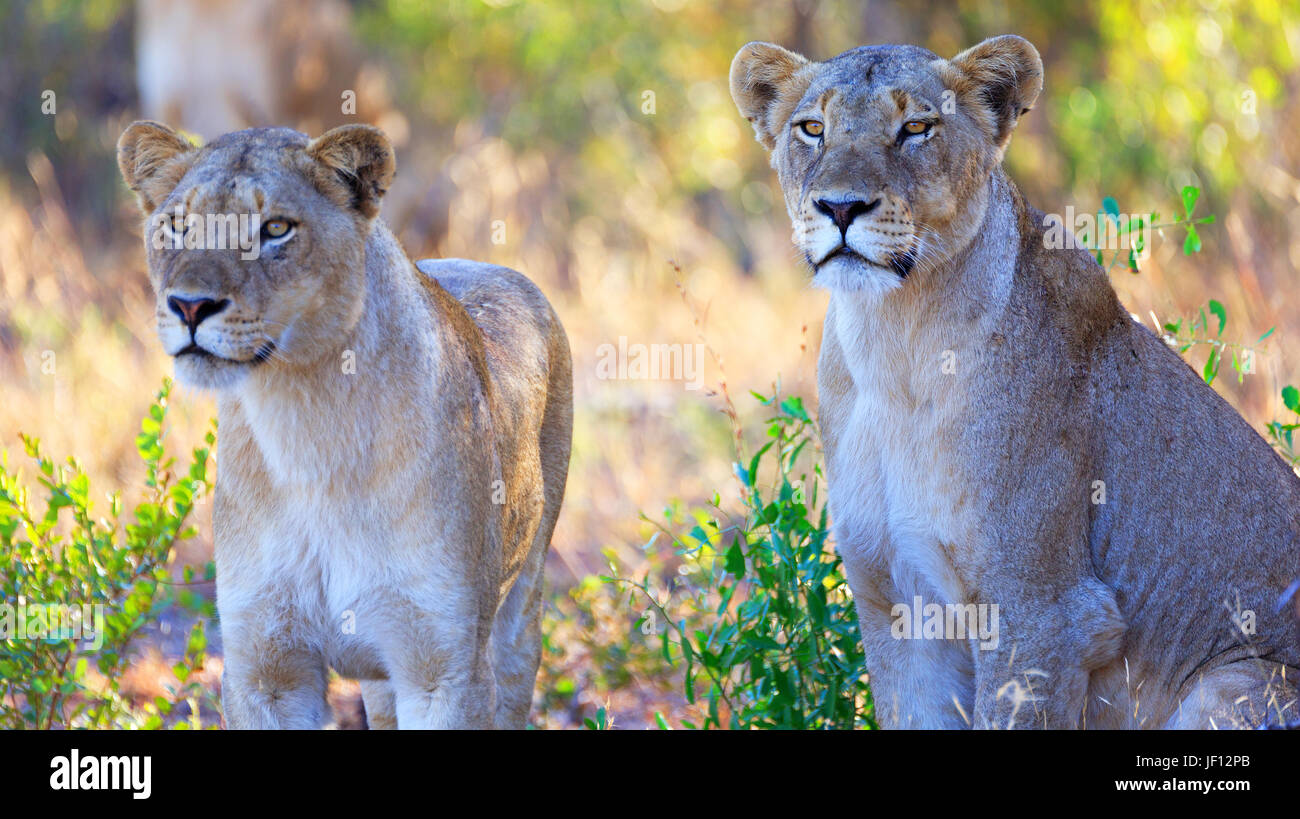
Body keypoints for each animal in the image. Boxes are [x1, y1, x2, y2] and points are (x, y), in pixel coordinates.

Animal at [116, 121, 572, 729]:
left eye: (275, 228)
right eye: (178, 224)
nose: (190, 306)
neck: (304, 421)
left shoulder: (446, 671)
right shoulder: (265, 671)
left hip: (520, 610)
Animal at [730, 35, 1300, 728]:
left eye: (915, 128)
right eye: (812, 129)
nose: (839, 207)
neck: (892, 341)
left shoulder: (1043, 613)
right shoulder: (892, 602)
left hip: (1235, 681)